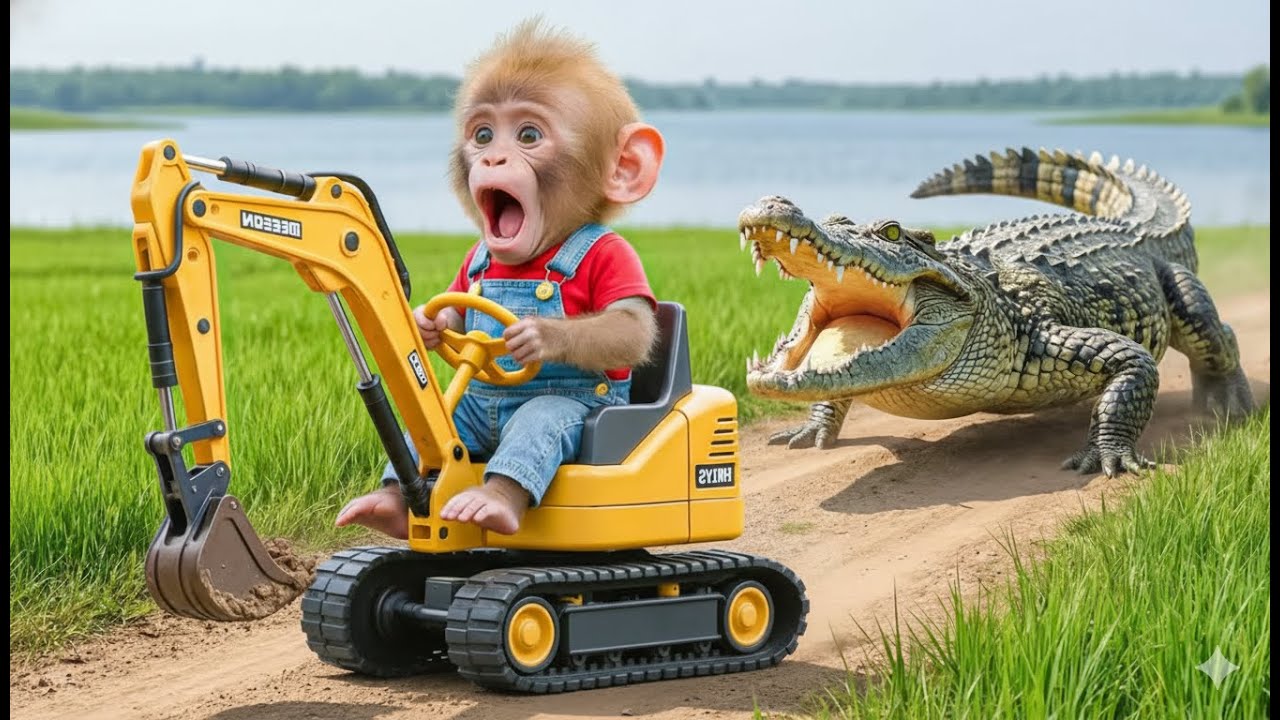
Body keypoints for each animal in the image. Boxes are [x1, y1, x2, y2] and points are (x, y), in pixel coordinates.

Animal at [336, 19, 664, 538]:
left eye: (528, 135)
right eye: (484, 135)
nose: (491, 160)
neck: (533, 255)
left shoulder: (616, 259)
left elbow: (629, 325)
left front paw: (537, 334)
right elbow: (455, 308)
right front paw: (427, 325)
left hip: (564, 416)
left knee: (535, 425)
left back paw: (488, 503)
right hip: (467, 415)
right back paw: (383, 505)